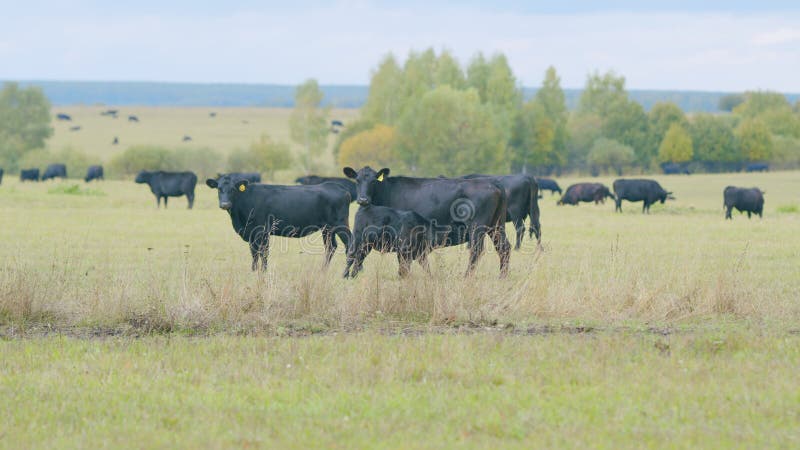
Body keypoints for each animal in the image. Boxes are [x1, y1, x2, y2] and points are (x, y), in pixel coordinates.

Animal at [206, 174, 351, 271]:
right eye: (219, 188)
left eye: (233, 189)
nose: (225, 204)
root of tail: (337, 187)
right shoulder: (251, 233)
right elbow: (254, 253)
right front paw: (253, 271)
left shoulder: (262, 231)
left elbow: (263, 253)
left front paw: (263, 273)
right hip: (328, 228)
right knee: (331, 247)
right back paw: (323, 271)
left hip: (340, 224)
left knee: (350, 245)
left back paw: (347, 274)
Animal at [344, 166, 511, 277]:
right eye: (357, 180)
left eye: (373, 181)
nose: (363, 200)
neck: (387, 190)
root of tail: (492, 182)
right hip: (497, 226)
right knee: (504, 248)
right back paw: (502, 277)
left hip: (477, 227)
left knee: (476, 251)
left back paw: (466, 277)